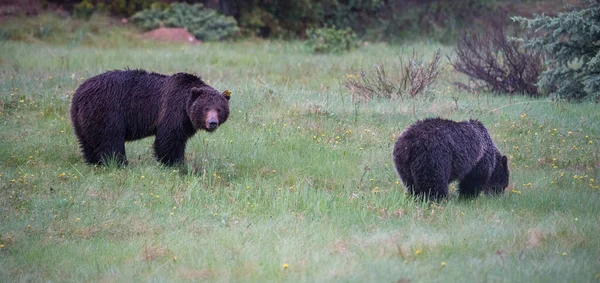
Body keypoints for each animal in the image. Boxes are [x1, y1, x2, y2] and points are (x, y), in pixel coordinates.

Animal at [70, 69, 230, 166]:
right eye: (205, 108)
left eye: (219, 109)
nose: (212, 122)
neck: (185, 106)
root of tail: (78, 93)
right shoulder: (172, 109)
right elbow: (169, 138)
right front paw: (173, 163)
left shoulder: (185, 121)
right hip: (107, 111)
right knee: (110, 139)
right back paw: (119, 163)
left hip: (83, 118)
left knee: (88, 141)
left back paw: (94, 161)